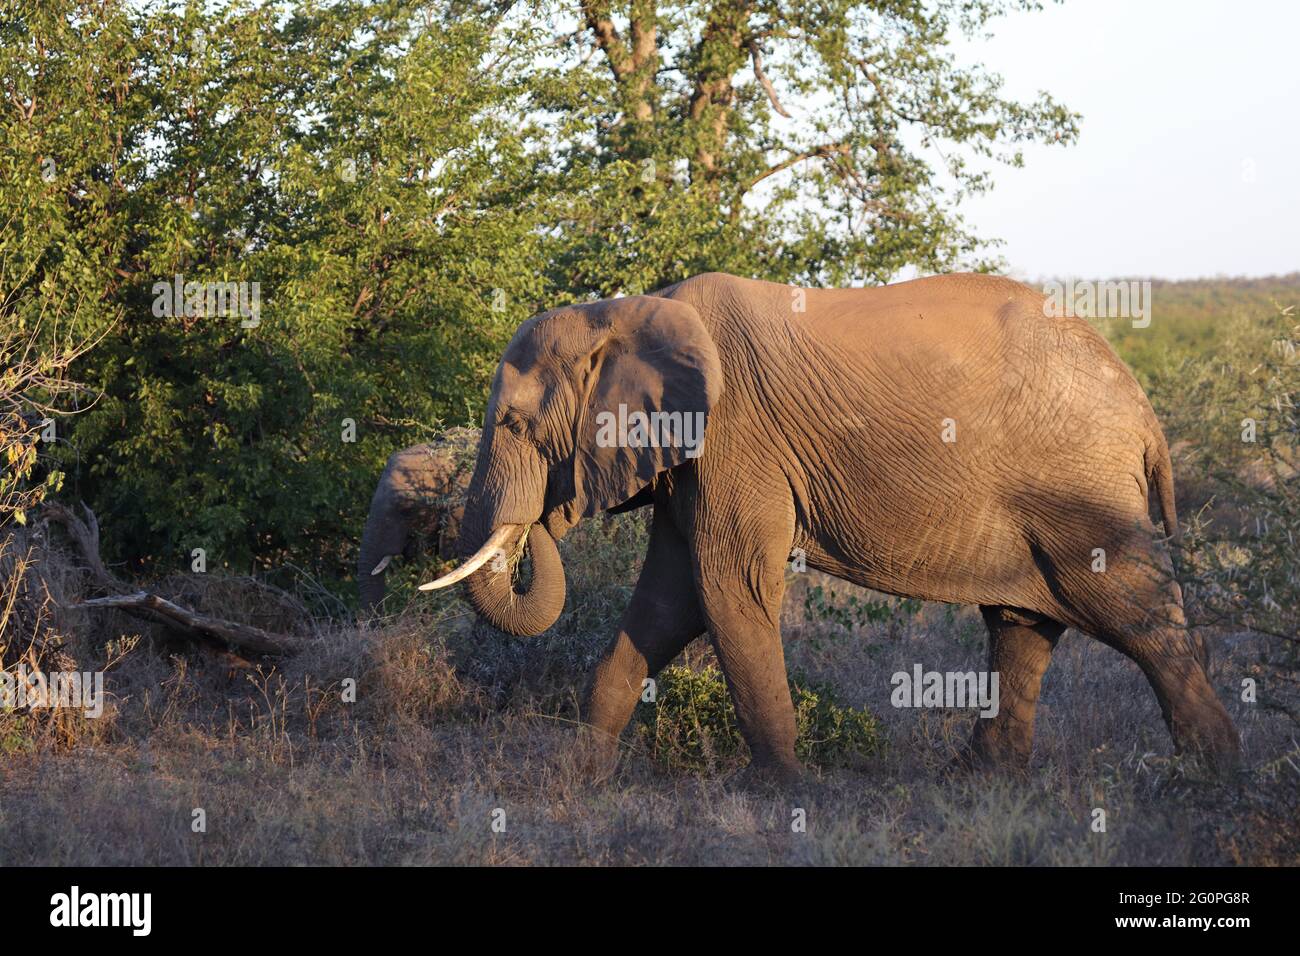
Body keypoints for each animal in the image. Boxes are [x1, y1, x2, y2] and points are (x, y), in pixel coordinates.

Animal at [421, 272, 1240, 782]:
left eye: (513, 423)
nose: (537, 522)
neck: (627, 310)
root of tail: (1142, 408)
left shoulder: (735, 440)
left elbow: (728, 593)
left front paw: (786, 794)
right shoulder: (696, 461)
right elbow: (665, 602)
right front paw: (577, 775)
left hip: (1080, 490)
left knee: (1141, 622)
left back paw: (1219, 786)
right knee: (1021, 628)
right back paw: (978, 787)